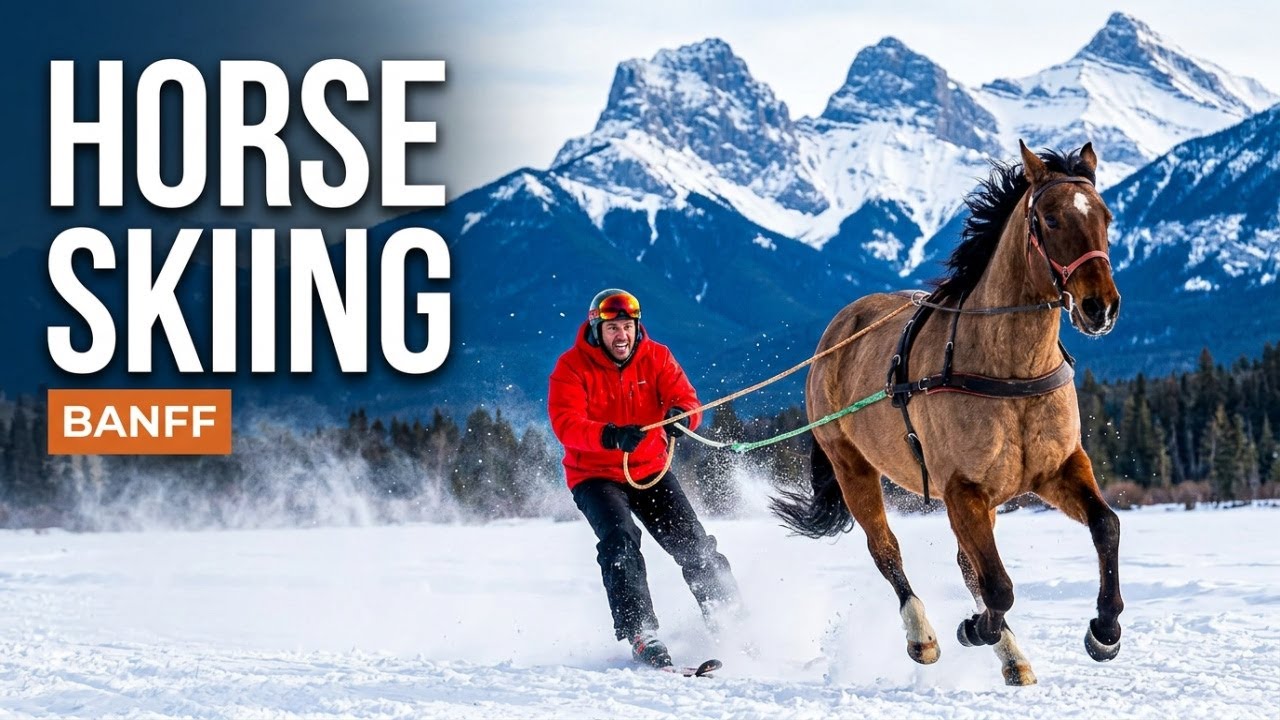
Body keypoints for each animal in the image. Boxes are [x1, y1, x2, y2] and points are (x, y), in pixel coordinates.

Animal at [771, 141, 1123, 686]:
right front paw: (977, 629)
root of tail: (835, 335)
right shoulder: (961, 490)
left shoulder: (1058, 470)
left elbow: (1106, 527)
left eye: (1105, 216)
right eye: (1049, 218)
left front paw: (1104, 632)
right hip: (852, 467)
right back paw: (925, 636)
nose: (1099, 307)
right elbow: (997, 584)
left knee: (967, 563)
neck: (1010, 371)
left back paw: (1012, 655)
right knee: (887, 550)